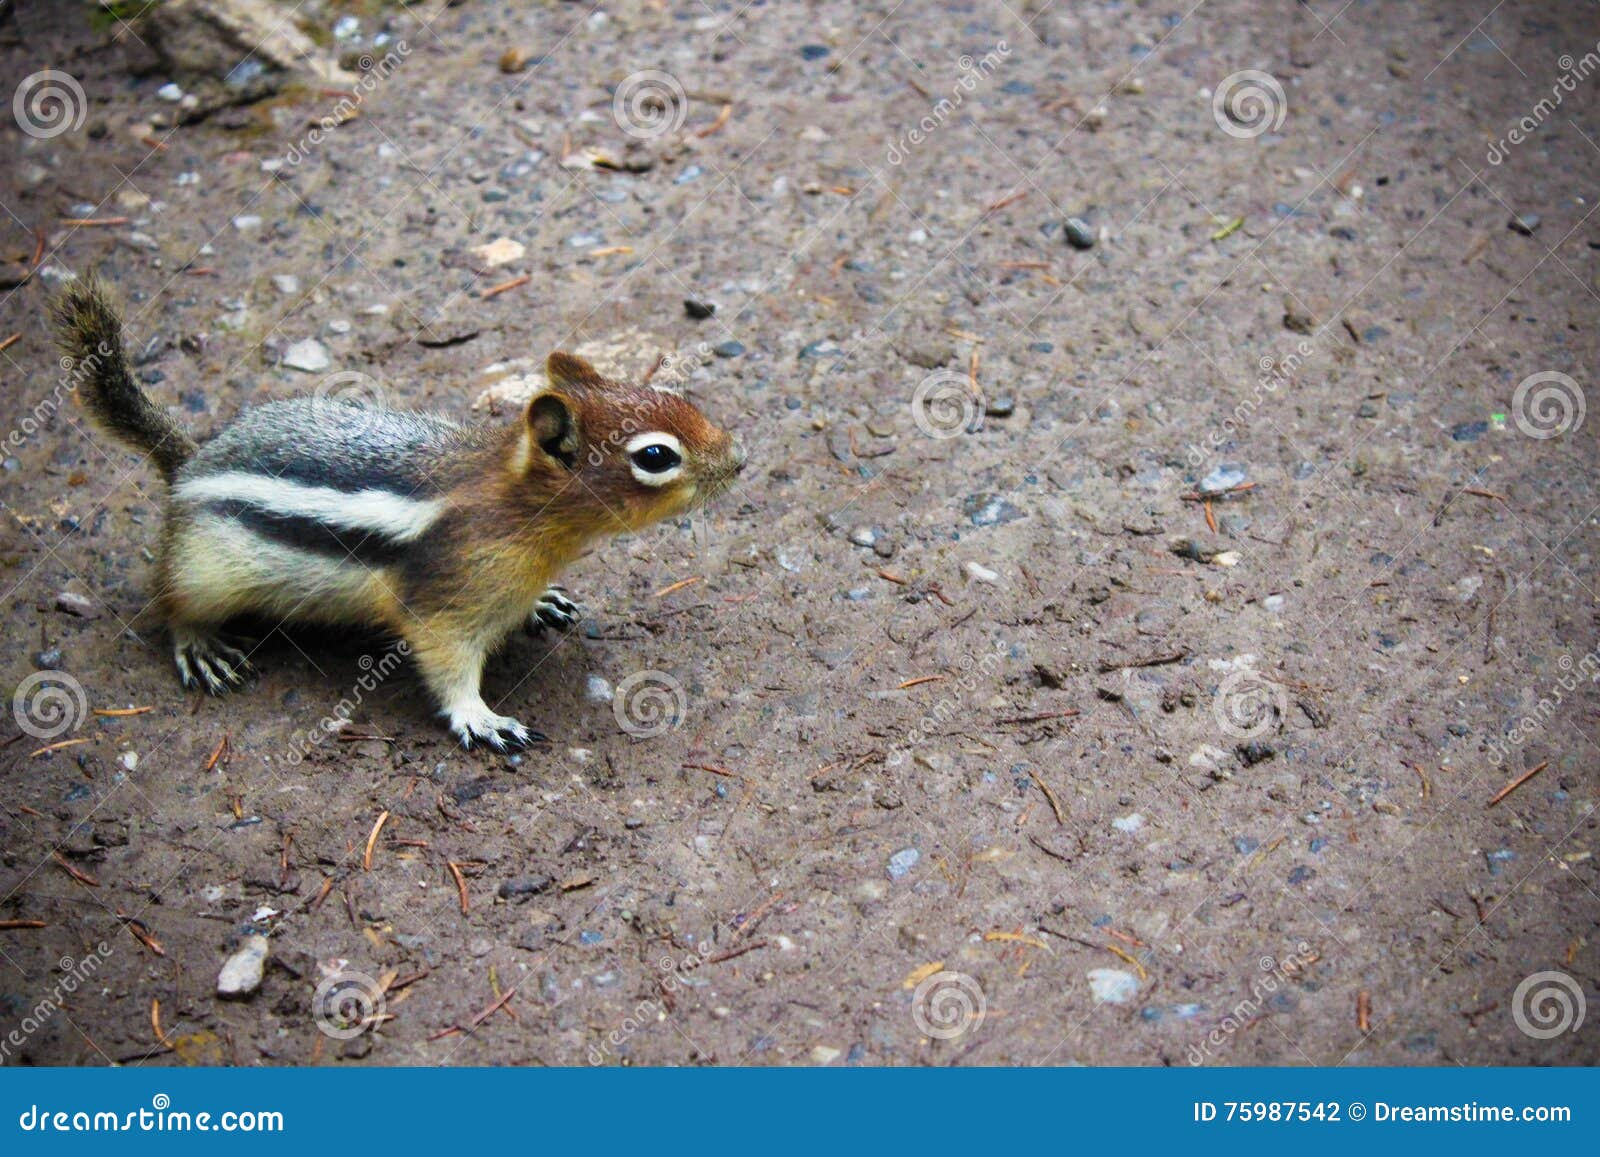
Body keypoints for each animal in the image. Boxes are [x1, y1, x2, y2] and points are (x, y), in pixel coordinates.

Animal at [51, 275, 744, 749]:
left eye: (670, 395)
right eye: (655, 456)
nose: (739, 460)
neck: (519, 509)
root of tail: (192, 461)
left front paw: (542, 603)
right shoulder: (446, 602)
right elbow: (447, 663)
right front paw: (480, 717)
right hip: (205, 569)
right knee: (170, 600)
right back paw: (199, 645)